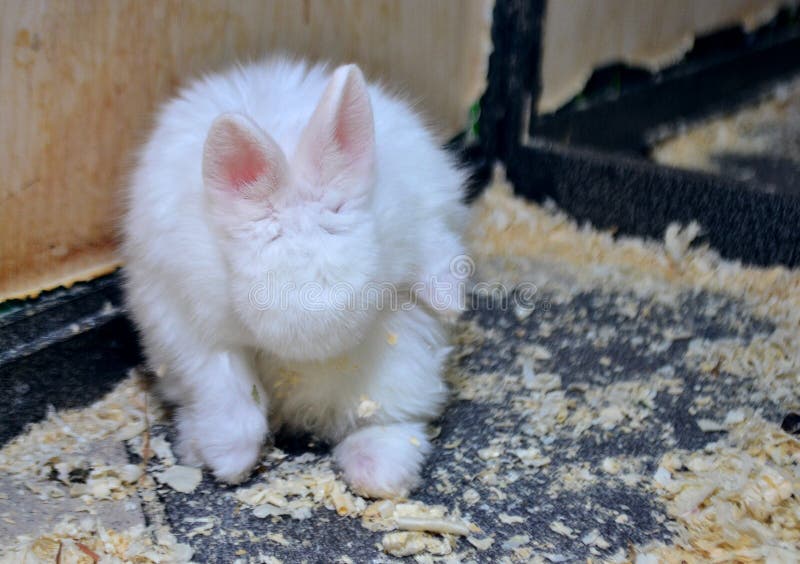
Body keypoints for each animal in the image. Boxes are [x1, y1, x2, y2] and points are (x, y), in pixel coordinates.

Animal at [122, 58, 468, 498]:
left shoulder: (419, 218)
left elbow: (437, 255)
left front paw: (451, 303)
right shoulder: (191, 322)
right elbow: (229, 395)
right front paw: (231, 464)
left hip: (402, 367)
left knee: (392, 419)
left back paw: (378, 473)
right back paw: (201, 449)